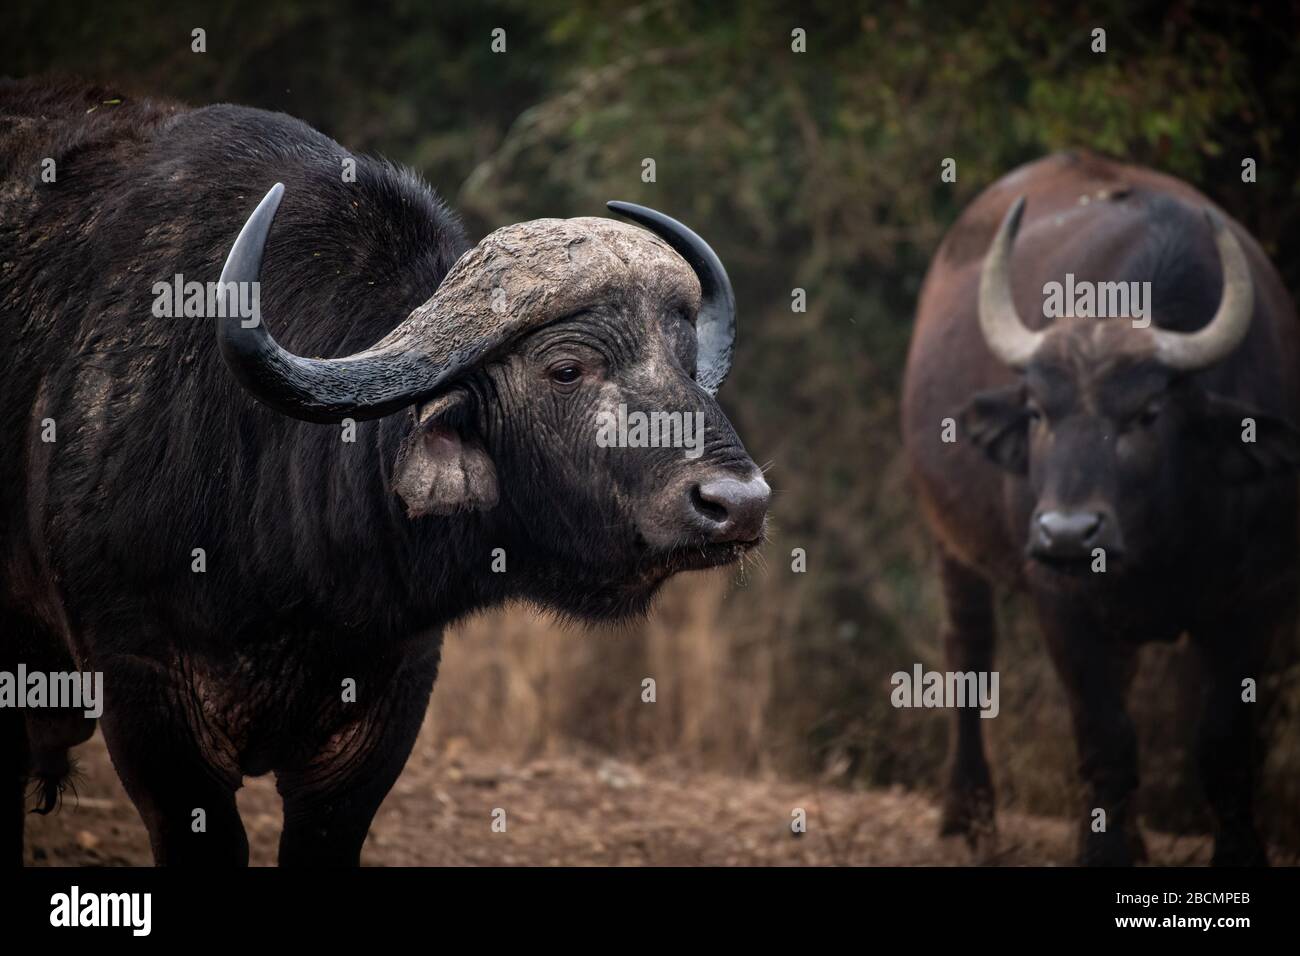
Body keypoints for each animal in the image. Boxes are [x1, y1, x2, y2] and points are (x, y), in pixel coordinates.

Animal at [903, 151, 1300, 865]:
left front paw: (1238, 852)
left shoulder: (1256, 597)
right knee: (968, 651)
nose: (1067, 533)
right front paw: (1102, 852)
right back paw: (967, 815)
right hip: (950, 542)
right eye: (1037, 413)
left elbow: (1224, 744)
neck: (1162, 536)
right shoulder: (1062, 600)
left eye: (1148, 413)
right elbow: (1104, 734)